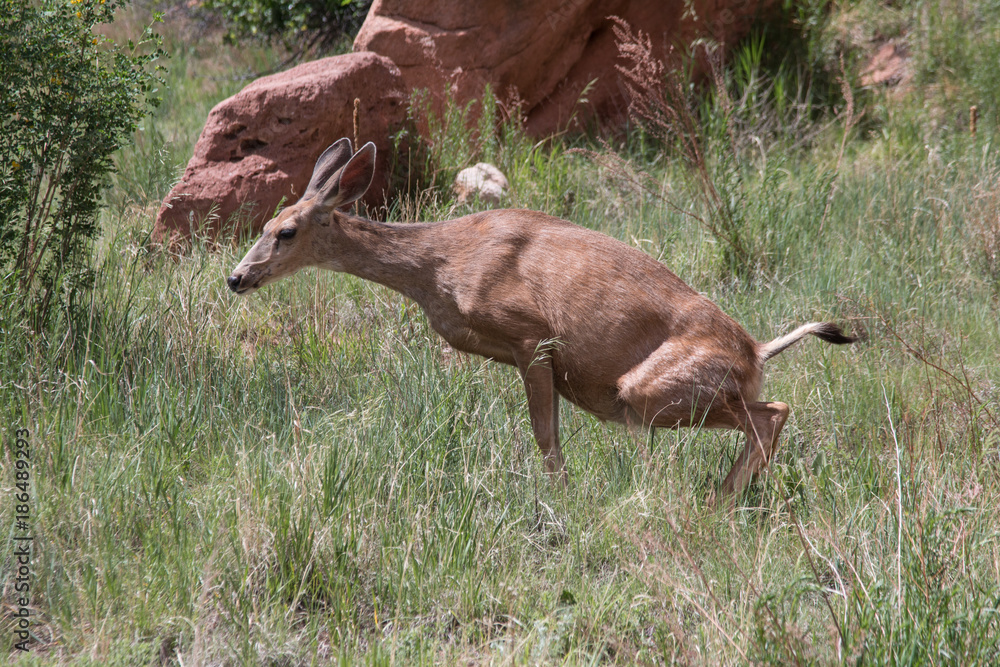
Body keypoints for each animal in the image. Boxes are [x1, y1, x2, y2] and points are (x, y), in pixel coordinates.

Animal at [227, 138, 858, 503]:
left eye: (286, 231)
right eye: (265, 223)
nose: (236, 277)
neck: (440, 266)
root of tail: (756, 352)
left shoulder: (531, 335)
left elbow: (545, 436)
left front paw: (559, 503)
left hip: (646, 389)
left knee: (771, 413)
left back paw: (716, 503)